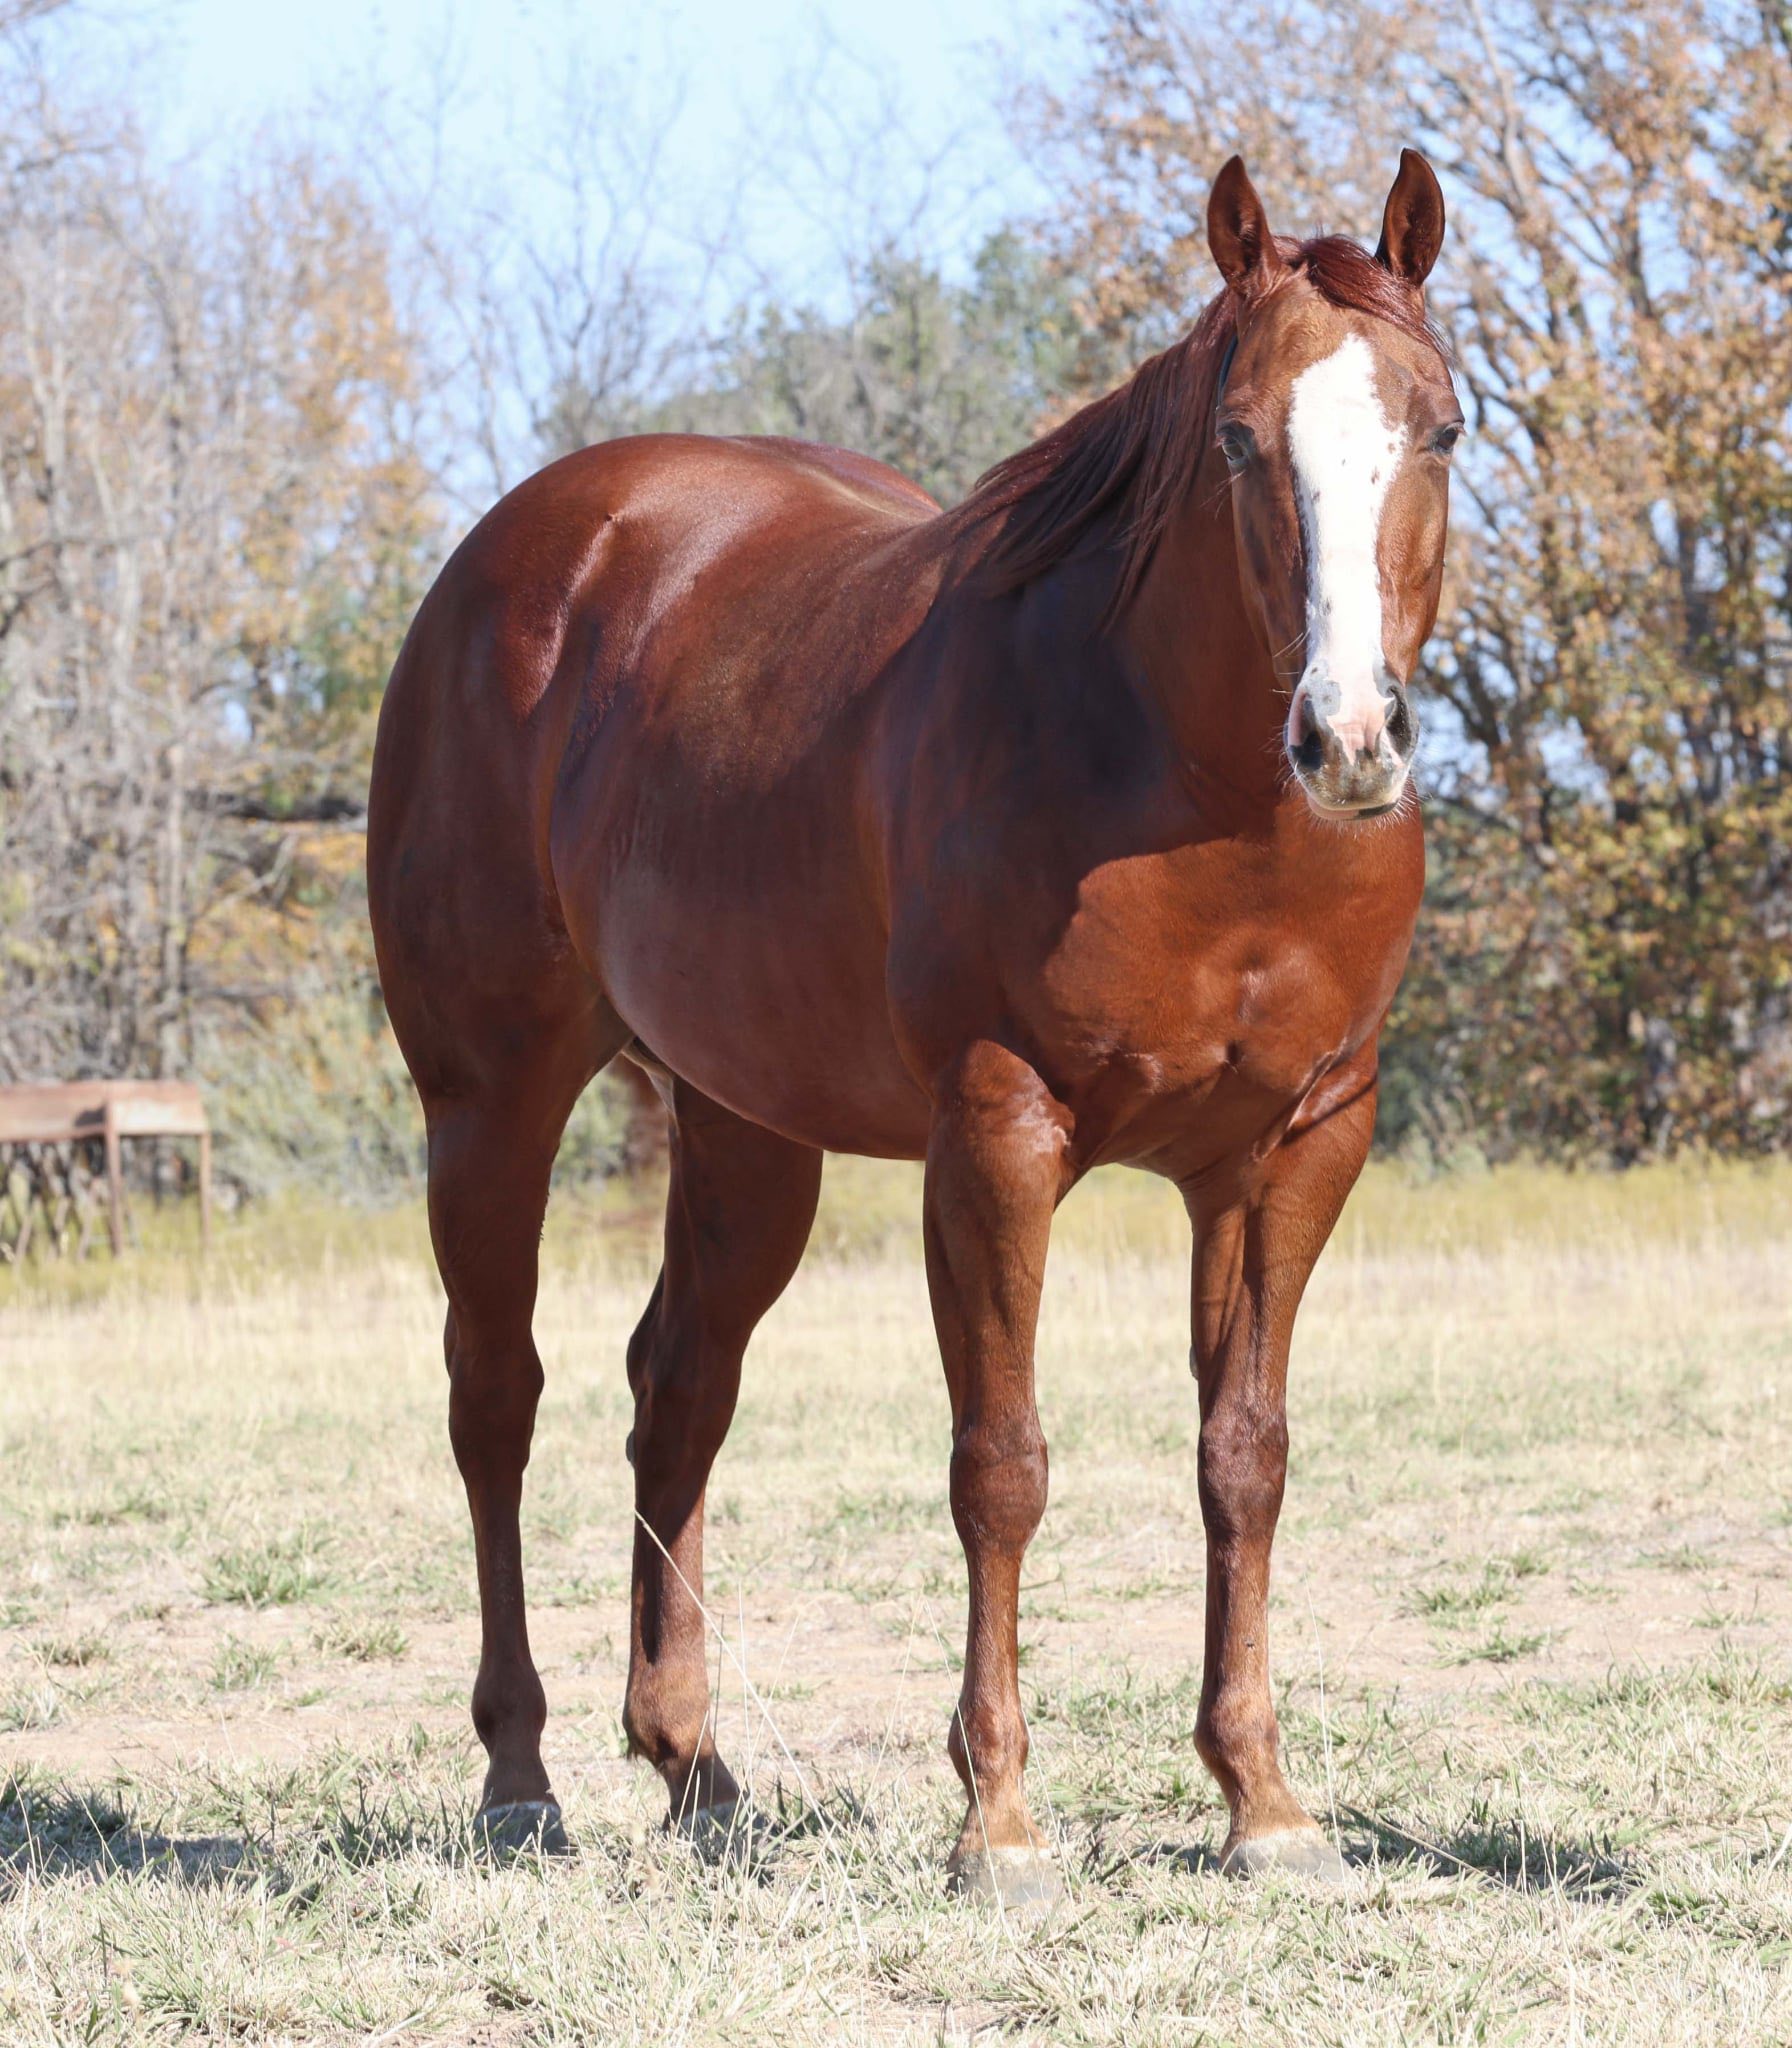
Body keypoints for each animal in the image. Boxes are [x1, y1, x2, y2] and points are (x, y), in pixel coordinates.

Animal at [367, 150, 1459, 1905]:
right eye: (1239, 438)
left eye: (1444, 429)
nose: (1349, 734)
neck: (1179, 786)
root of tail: (532, 550)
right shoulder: (998, 1131)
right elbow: (1000, 1463)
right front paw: (998, 1821)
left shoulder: (1295, 1146)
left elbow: (1246, 1455)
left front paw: (1265, 1804)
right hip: (487, 1104)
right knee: (497, 1398)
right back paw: (520, 1780)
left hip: (747, 1134)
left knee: (678, 1393)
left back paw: (695, 1769)